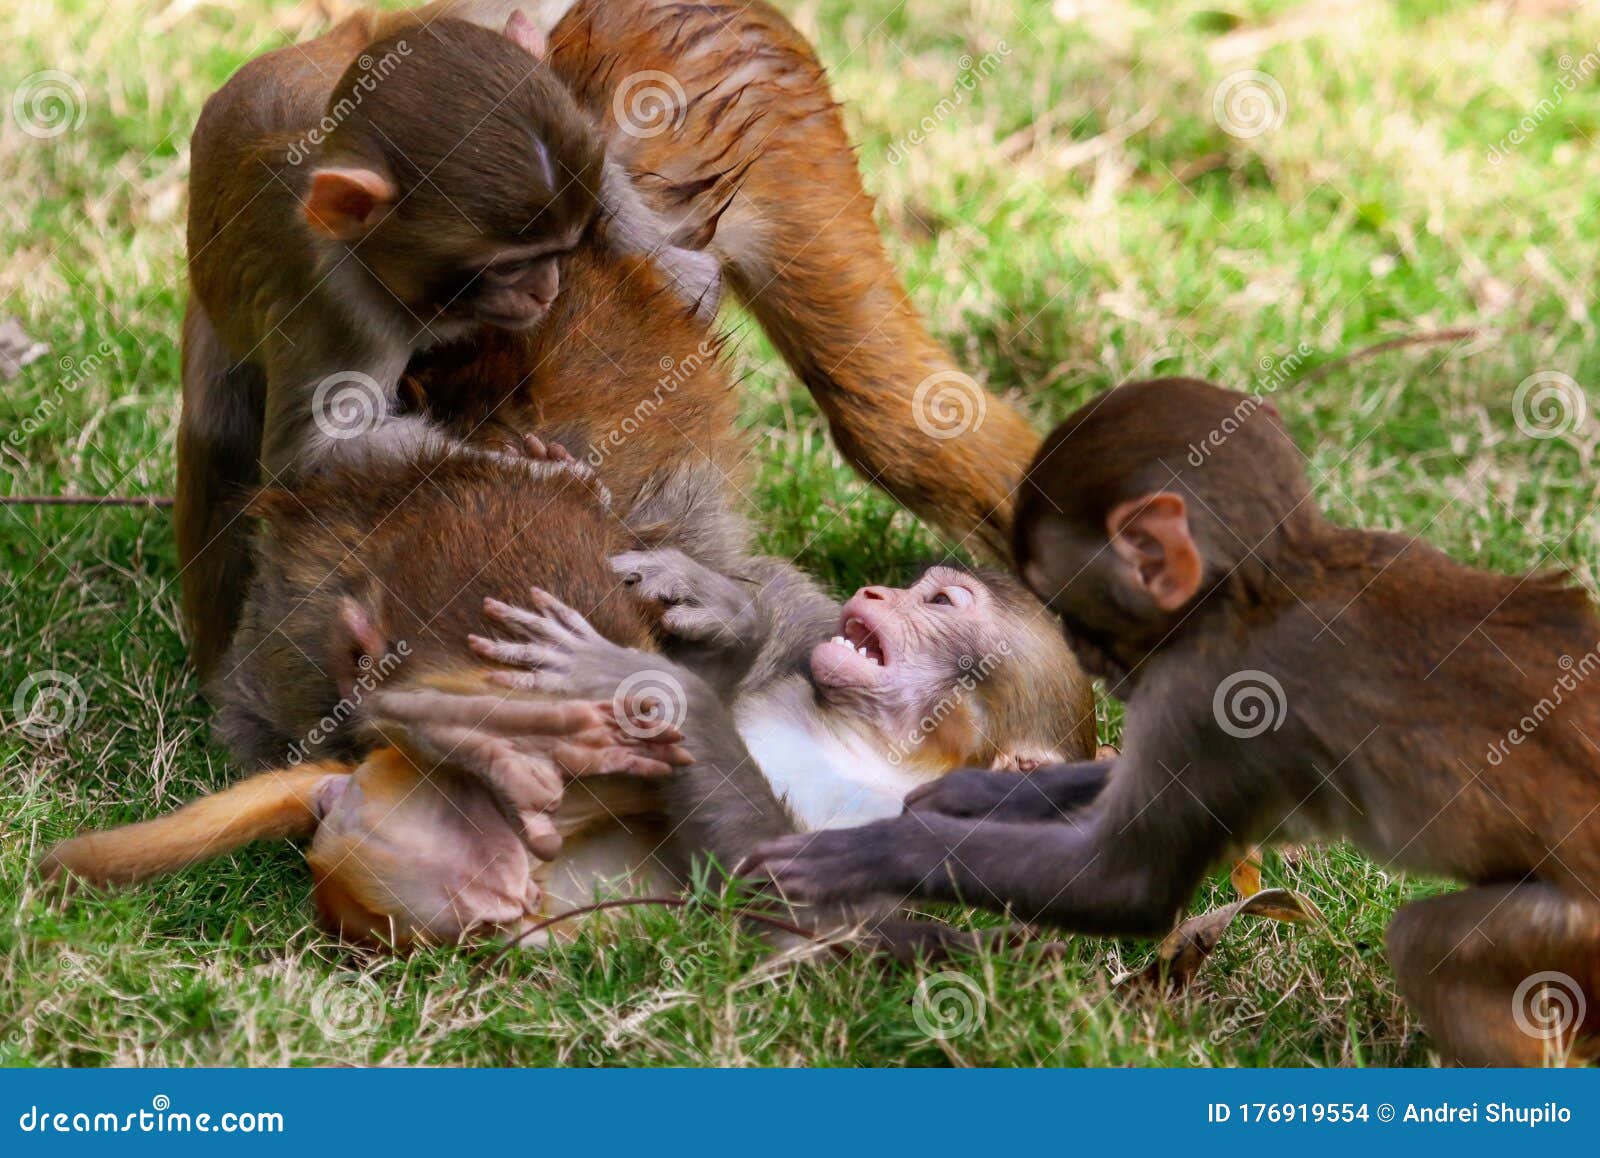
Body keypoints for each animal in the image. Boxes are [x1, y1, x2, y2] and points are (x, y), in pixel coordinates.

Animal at [744, 376, 1600, 1066]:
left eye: (942, 602)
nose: (875, 593)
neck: (1270, 585)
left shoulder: (1210, 701)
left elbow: (1129, 888)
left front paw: (875, 852)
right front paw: (969, 801)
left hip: (1574, 937)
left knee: (1430, 944)